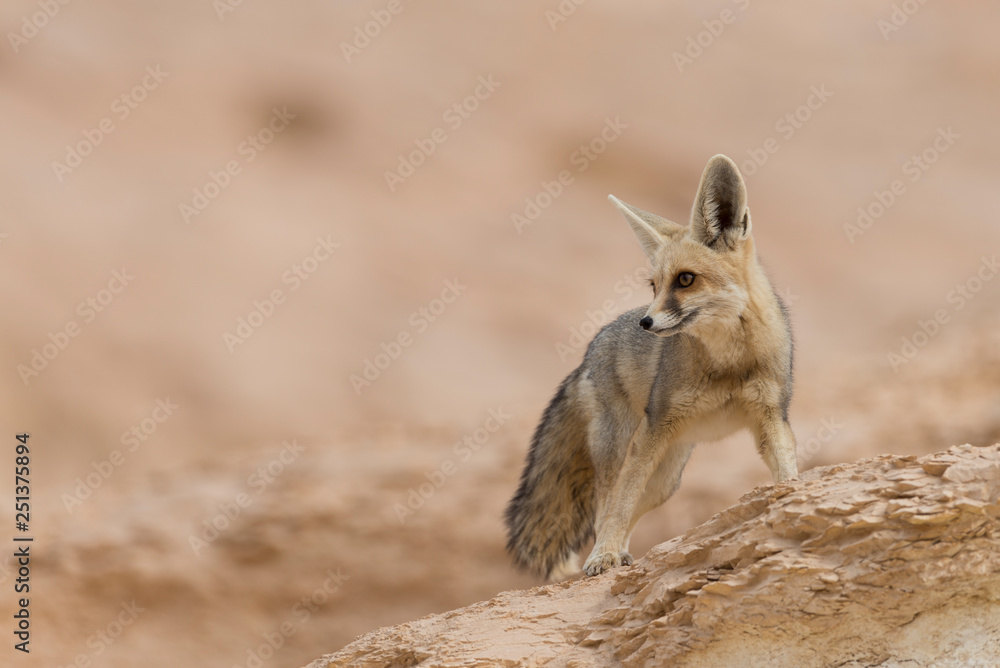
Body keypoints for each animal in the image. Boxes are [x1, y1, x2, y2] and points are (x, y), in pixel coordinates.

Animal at [505, 154, 797, 579]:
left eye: (686, 279)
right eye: (654, 286)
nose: (646, 322)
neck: (729, 363)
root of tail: (590, 351)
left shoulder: (772, 417)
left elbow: (787, 470)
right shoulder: (653, 430)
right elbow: (619, 507)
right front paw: (603, 556)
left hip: (667, 478)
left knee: (632, 506)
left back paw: (622, 553)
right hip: (623, 446)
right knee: (606, 507)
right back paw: (605, 554)